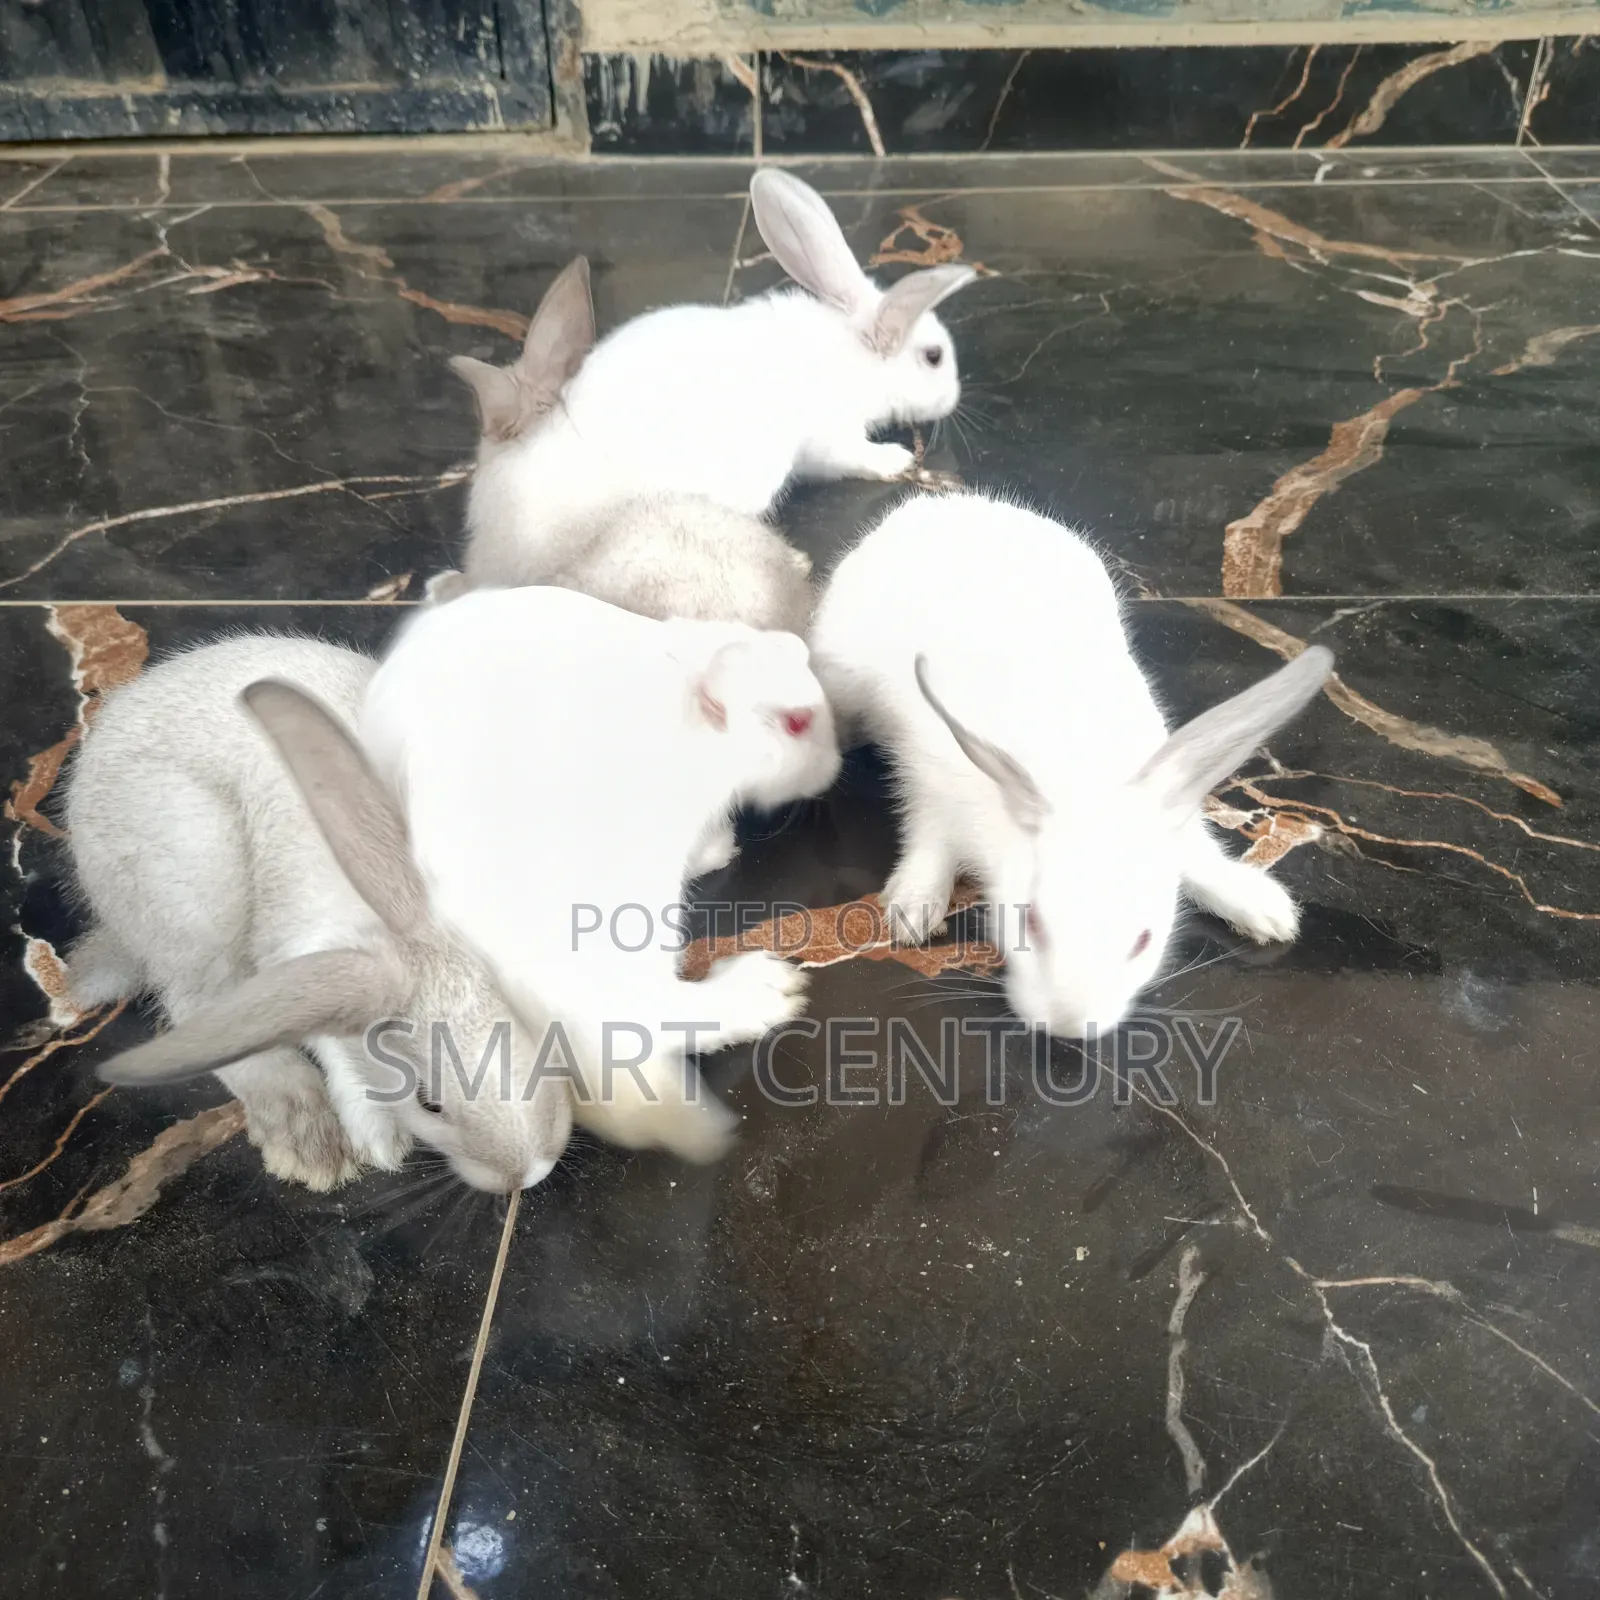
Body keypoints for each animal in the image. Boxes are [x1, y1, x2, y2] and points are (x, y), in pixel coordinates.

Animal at [64, 634, 572, 1194]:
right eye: (429, 1104)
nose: (529, 1173)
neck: (407, 923)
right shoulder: (308, 965)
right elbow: (333, 1047)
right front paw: (377, 1140)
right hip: (193, 872)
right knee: (195, 1003)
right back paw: (306, 1136)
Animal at [452, 168, 975, 591]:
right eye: (933, 357)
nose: (956, 398)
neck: (859, 356)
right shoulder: (833, 437)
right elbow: (856, 456)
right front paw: (897, 459)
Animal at [808, 492, 1334, 1039]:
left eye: (1144, 940)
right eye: (1030, 921)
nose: (1068, 1026)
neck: (1078, 771)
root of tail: (936, 503)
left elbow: (1199, 854)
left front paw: (1264, 909)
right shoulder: (926, 778)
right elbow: (927, 838)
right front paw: (913, 909)